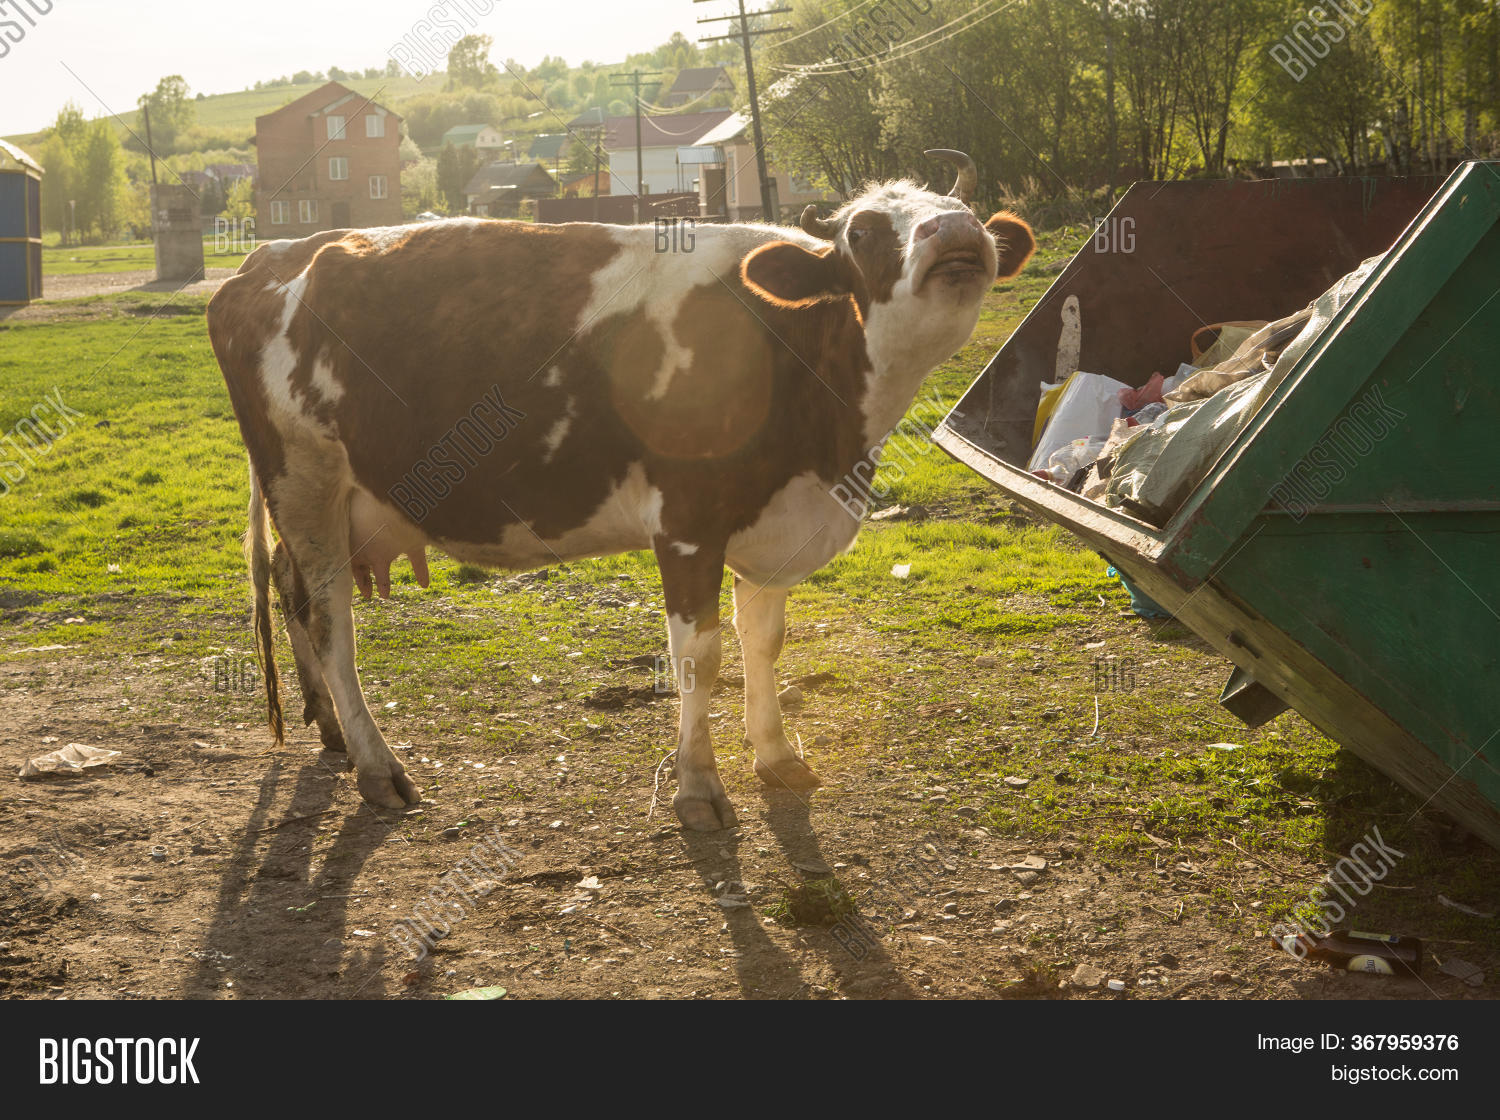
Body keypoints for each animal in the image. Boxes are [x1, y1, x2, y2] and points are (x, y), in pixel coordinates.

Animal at [206, 150, 1034, 831]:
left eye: (950, 204)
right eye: (864, 231)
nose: (957, 231)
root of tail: (269, 257)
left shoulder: (776, 523)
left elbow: (762, 642)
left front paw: (774, 756)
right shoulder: (688, 522)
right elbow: (698, 656)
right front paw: (698, 788)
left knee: (290, 592)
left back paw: (331, 731)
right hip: (305, 477)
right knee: (327, 618)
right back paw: (377, 765)